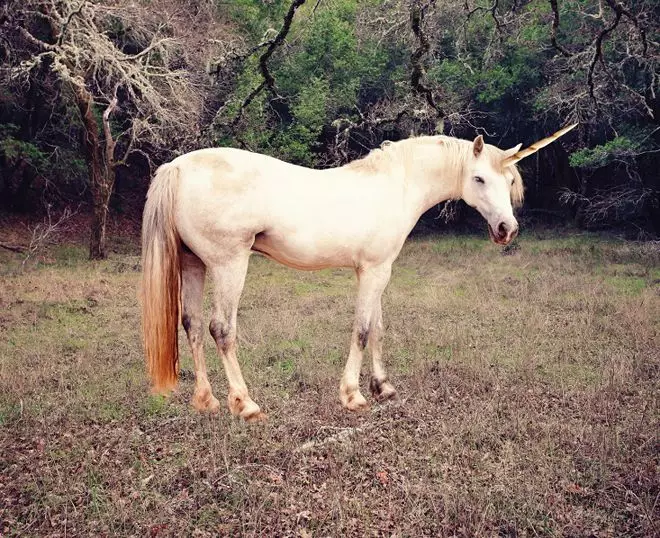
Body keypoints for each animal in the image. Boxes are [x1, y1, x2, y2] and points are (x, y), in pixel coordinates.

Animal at [142, 125, 576, 418]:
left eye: (508, 180)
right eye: (480, 178)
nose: (507, 229)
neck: (395, 186)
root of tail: (178, 167)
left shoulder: (378, 271)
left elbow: (379, 327)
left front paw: (383, 386)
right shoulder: (373, 271)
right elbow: (363, 330)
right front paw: (353, 395)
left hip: (194, 264)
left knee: (193, 325)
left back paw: (206, 400)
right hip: (229, 265)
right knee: (221, 329)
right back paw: (245, 404)